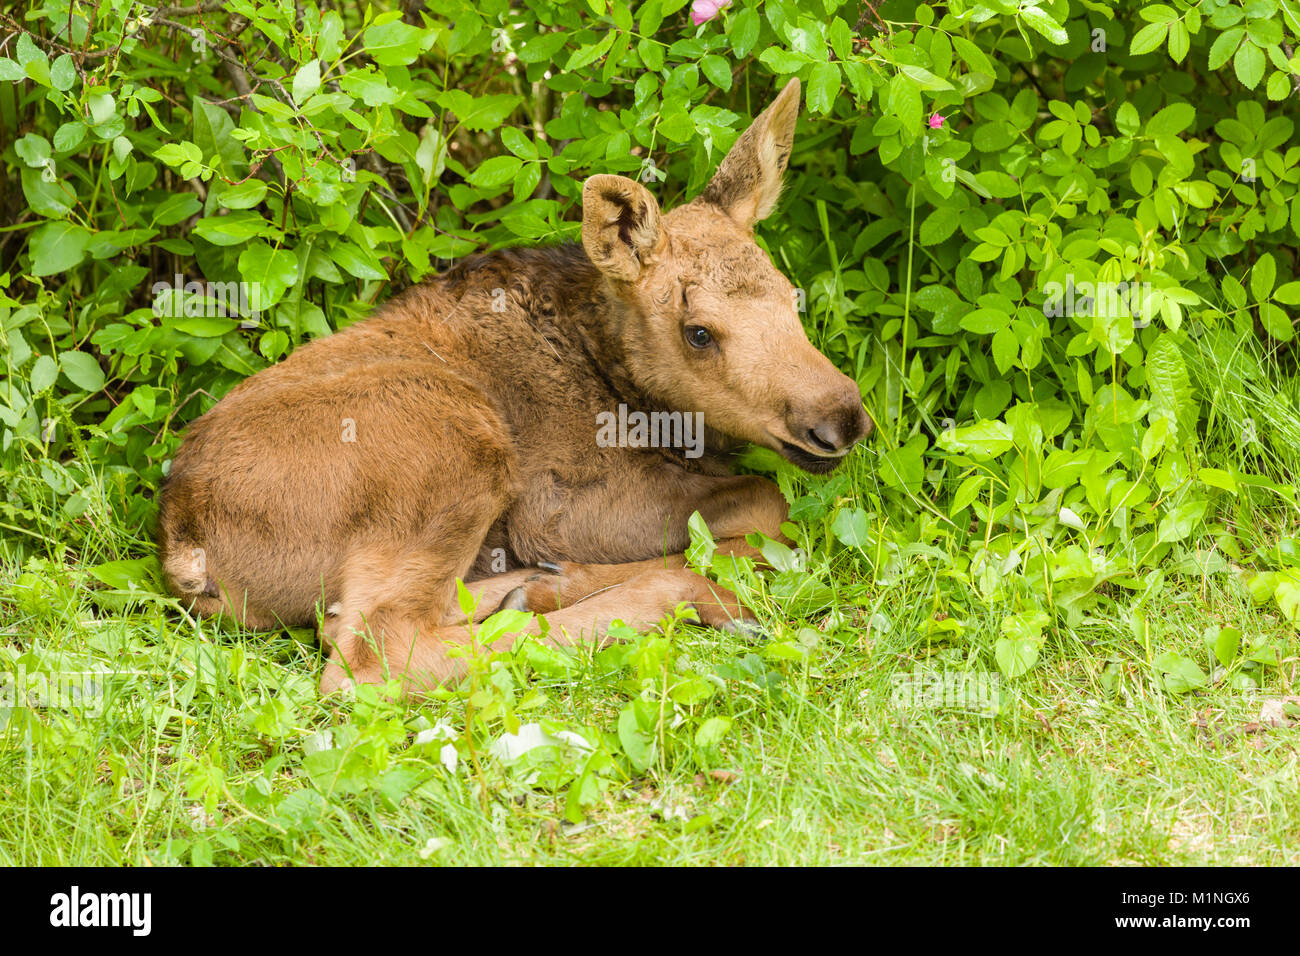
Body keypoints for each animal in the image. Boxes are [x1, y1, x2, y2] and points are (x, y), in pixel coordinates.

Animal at [156, 78, 873, 696]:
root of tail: (185, 548)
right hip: (458, 442)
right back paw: (684, 596)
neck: (620, 380)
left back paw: (530, 587)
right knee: (374, 651)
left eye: (789, 296)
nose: (840, 418)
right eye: (698, 332)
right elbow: (767, 502)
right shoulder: (562, 502)